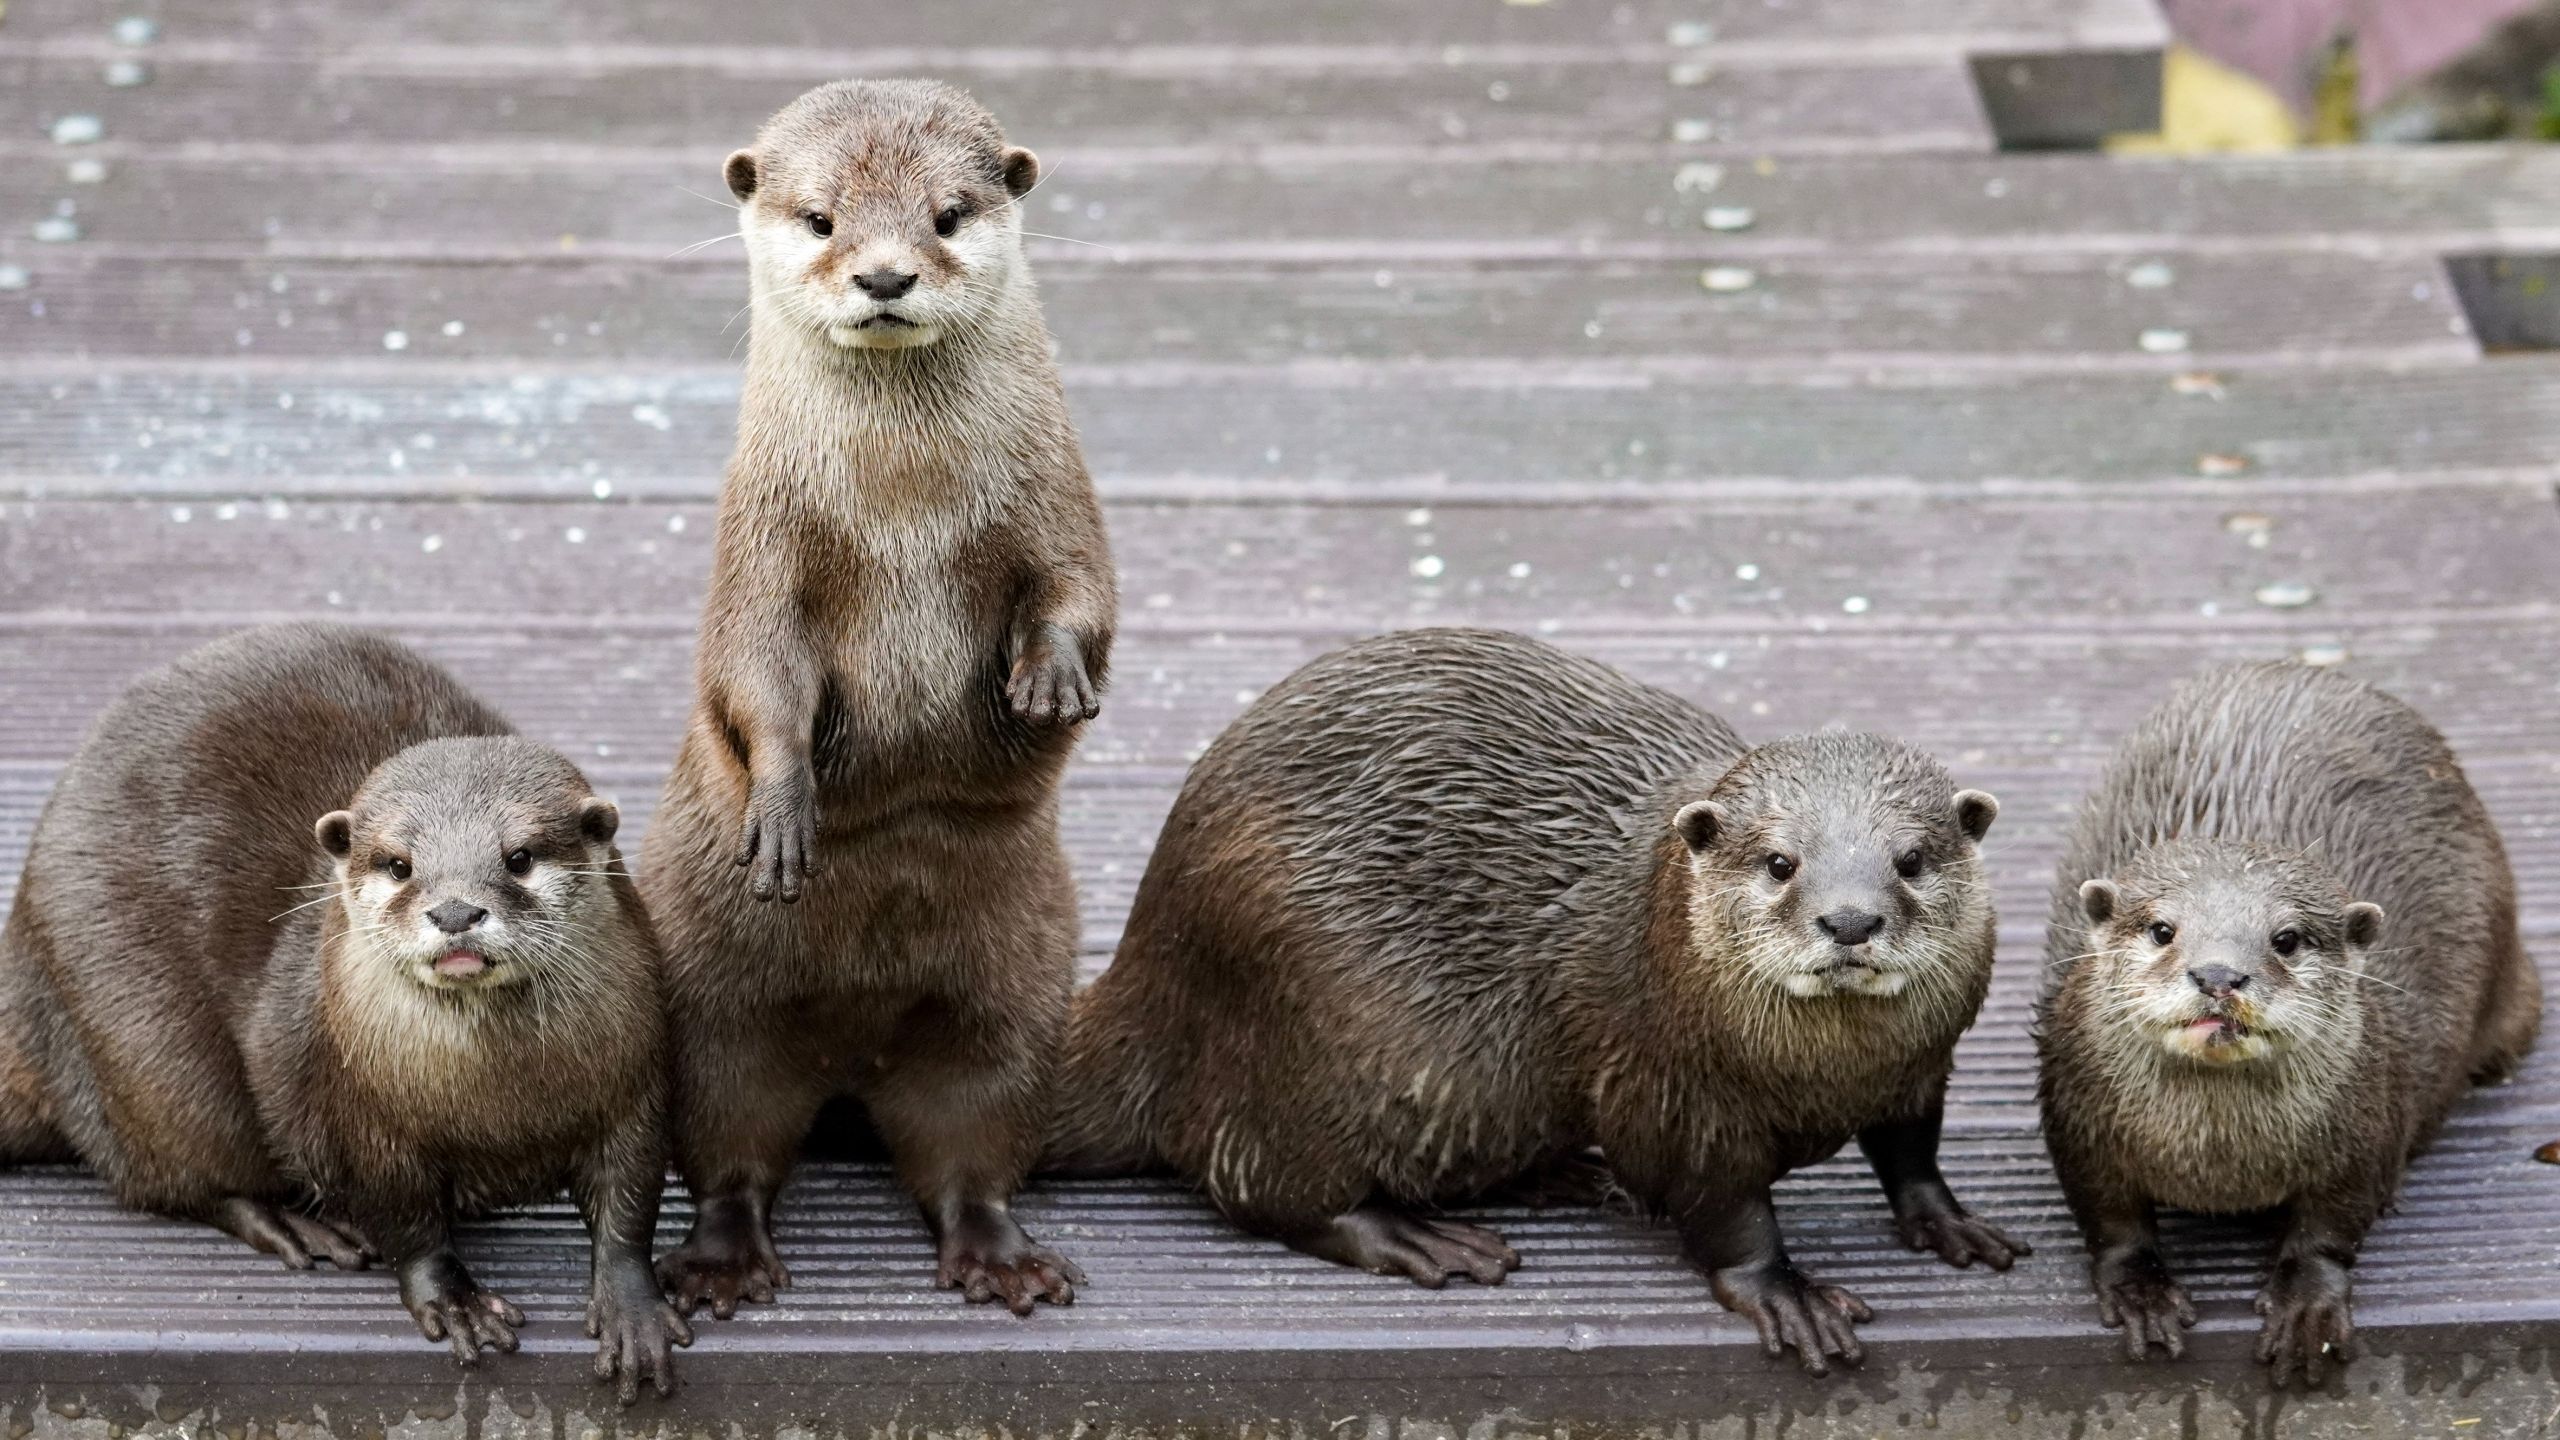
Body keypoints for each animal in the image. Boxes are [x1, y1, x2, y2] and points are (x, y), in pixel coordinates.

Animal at [0, 623, 690, 1401]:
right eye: (399, 864)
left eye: (519, 857)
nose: (455, 911)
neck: (499, 1106)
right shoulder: (354, 1111)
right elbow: (402, 1217)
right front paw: (452, 1298)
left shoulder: (636, 1080)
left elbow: (631, 1196)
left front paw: (632, 1307)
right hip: (141, 1044)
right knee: (172, 1175)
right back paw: (292, 1224)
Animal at [643, 79, 1111, 1318]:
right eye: (820, 219)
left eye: (947, 216)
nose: (887, 275)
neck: (904, 501)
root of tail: (849, 1062)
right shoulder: (763, 544)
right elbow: (754, 671)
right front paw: (784, 806)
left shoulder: (1057, 498)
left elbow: (1082, 595)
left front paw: (1050, 677)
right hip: (710, 1004)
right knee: (731, 1140)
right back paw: (720, 1264)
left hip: (1017, 994)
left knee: (970, 1142)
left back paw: (1000, 1257)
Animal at [1048, 628, 2021, 1375]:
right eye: (1781, 862)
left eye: (1910, 860)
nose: (1849, 919)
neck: (1831, 1076)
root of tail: (1147, 959)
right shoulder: (1670, 1088)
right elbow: (1723, 1205)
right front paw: (1783, 1290)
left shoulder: (1922, 1065)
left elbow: (1910, 1146)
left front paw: (1950, 1221)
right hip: (1315, 1035)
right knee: (1256, 1184)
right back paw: (1419, 1238)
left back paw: (1570, 1175)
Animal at [2037, 661, 2542, 1387]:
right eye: (2163, 929)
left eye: (2287, 938)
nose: (2219, 974)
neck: (2218, 1164)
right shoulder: (2079, 1120)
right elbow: (2110, 1219)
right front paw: (2141, 1293)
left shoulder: (2364, 1122)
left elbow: (2330, 1226)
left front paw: (2307, 1304)